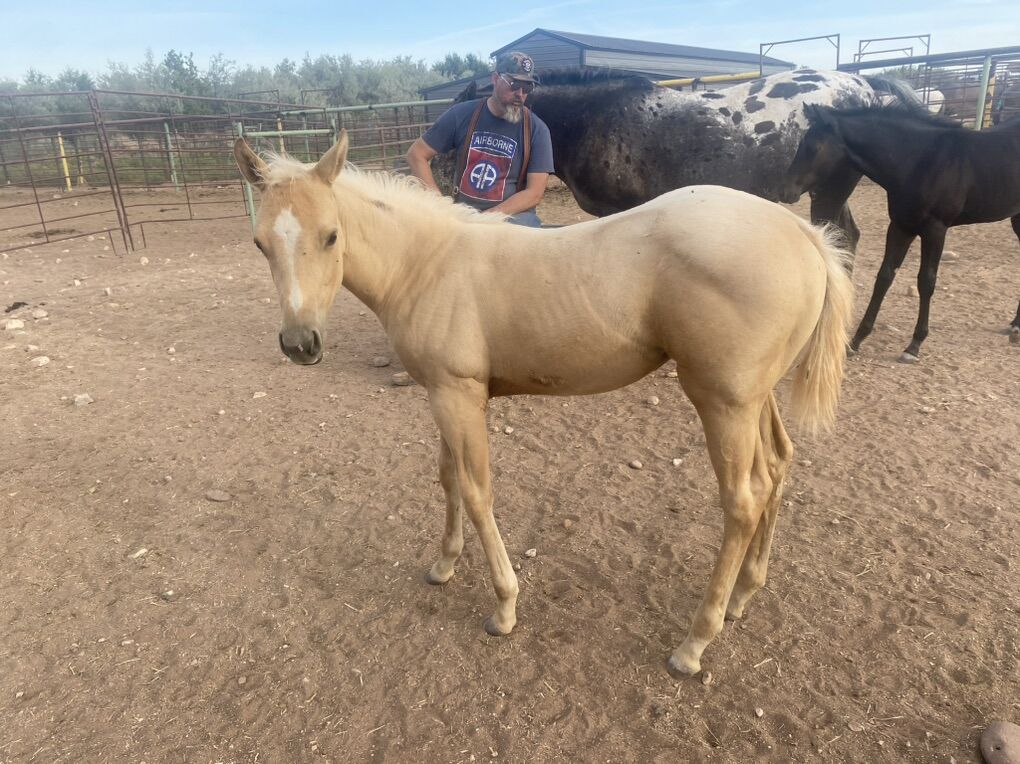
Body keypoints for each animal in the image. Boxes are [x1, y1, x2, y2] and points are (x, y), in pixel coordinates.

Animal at [233, 131, 854, 678]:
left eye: (331, 235)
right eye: (260, 243)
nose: (300, 344)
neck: (429, 263)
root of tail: (803, 233)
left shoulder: (459, 396)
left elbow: (477, 491)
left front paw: (504, 608)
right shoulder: (441, 392)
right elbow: (448, 478)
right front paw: (443, 565)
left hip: (723, 403)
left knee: (743, 502)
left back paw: (695, 643)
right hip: (754, 397)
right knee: (776, 468)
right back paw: (744, 596)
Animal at [783, 102, 1020, 361]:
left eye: (813, 147)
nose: (787, 190)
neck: (922, 161)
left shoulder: (935, 229)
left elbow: (926, 281)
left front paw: (914, 345)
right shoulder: (901, 226)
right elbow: (884, 277)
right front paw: (856, 340)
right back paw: (1015, 325)